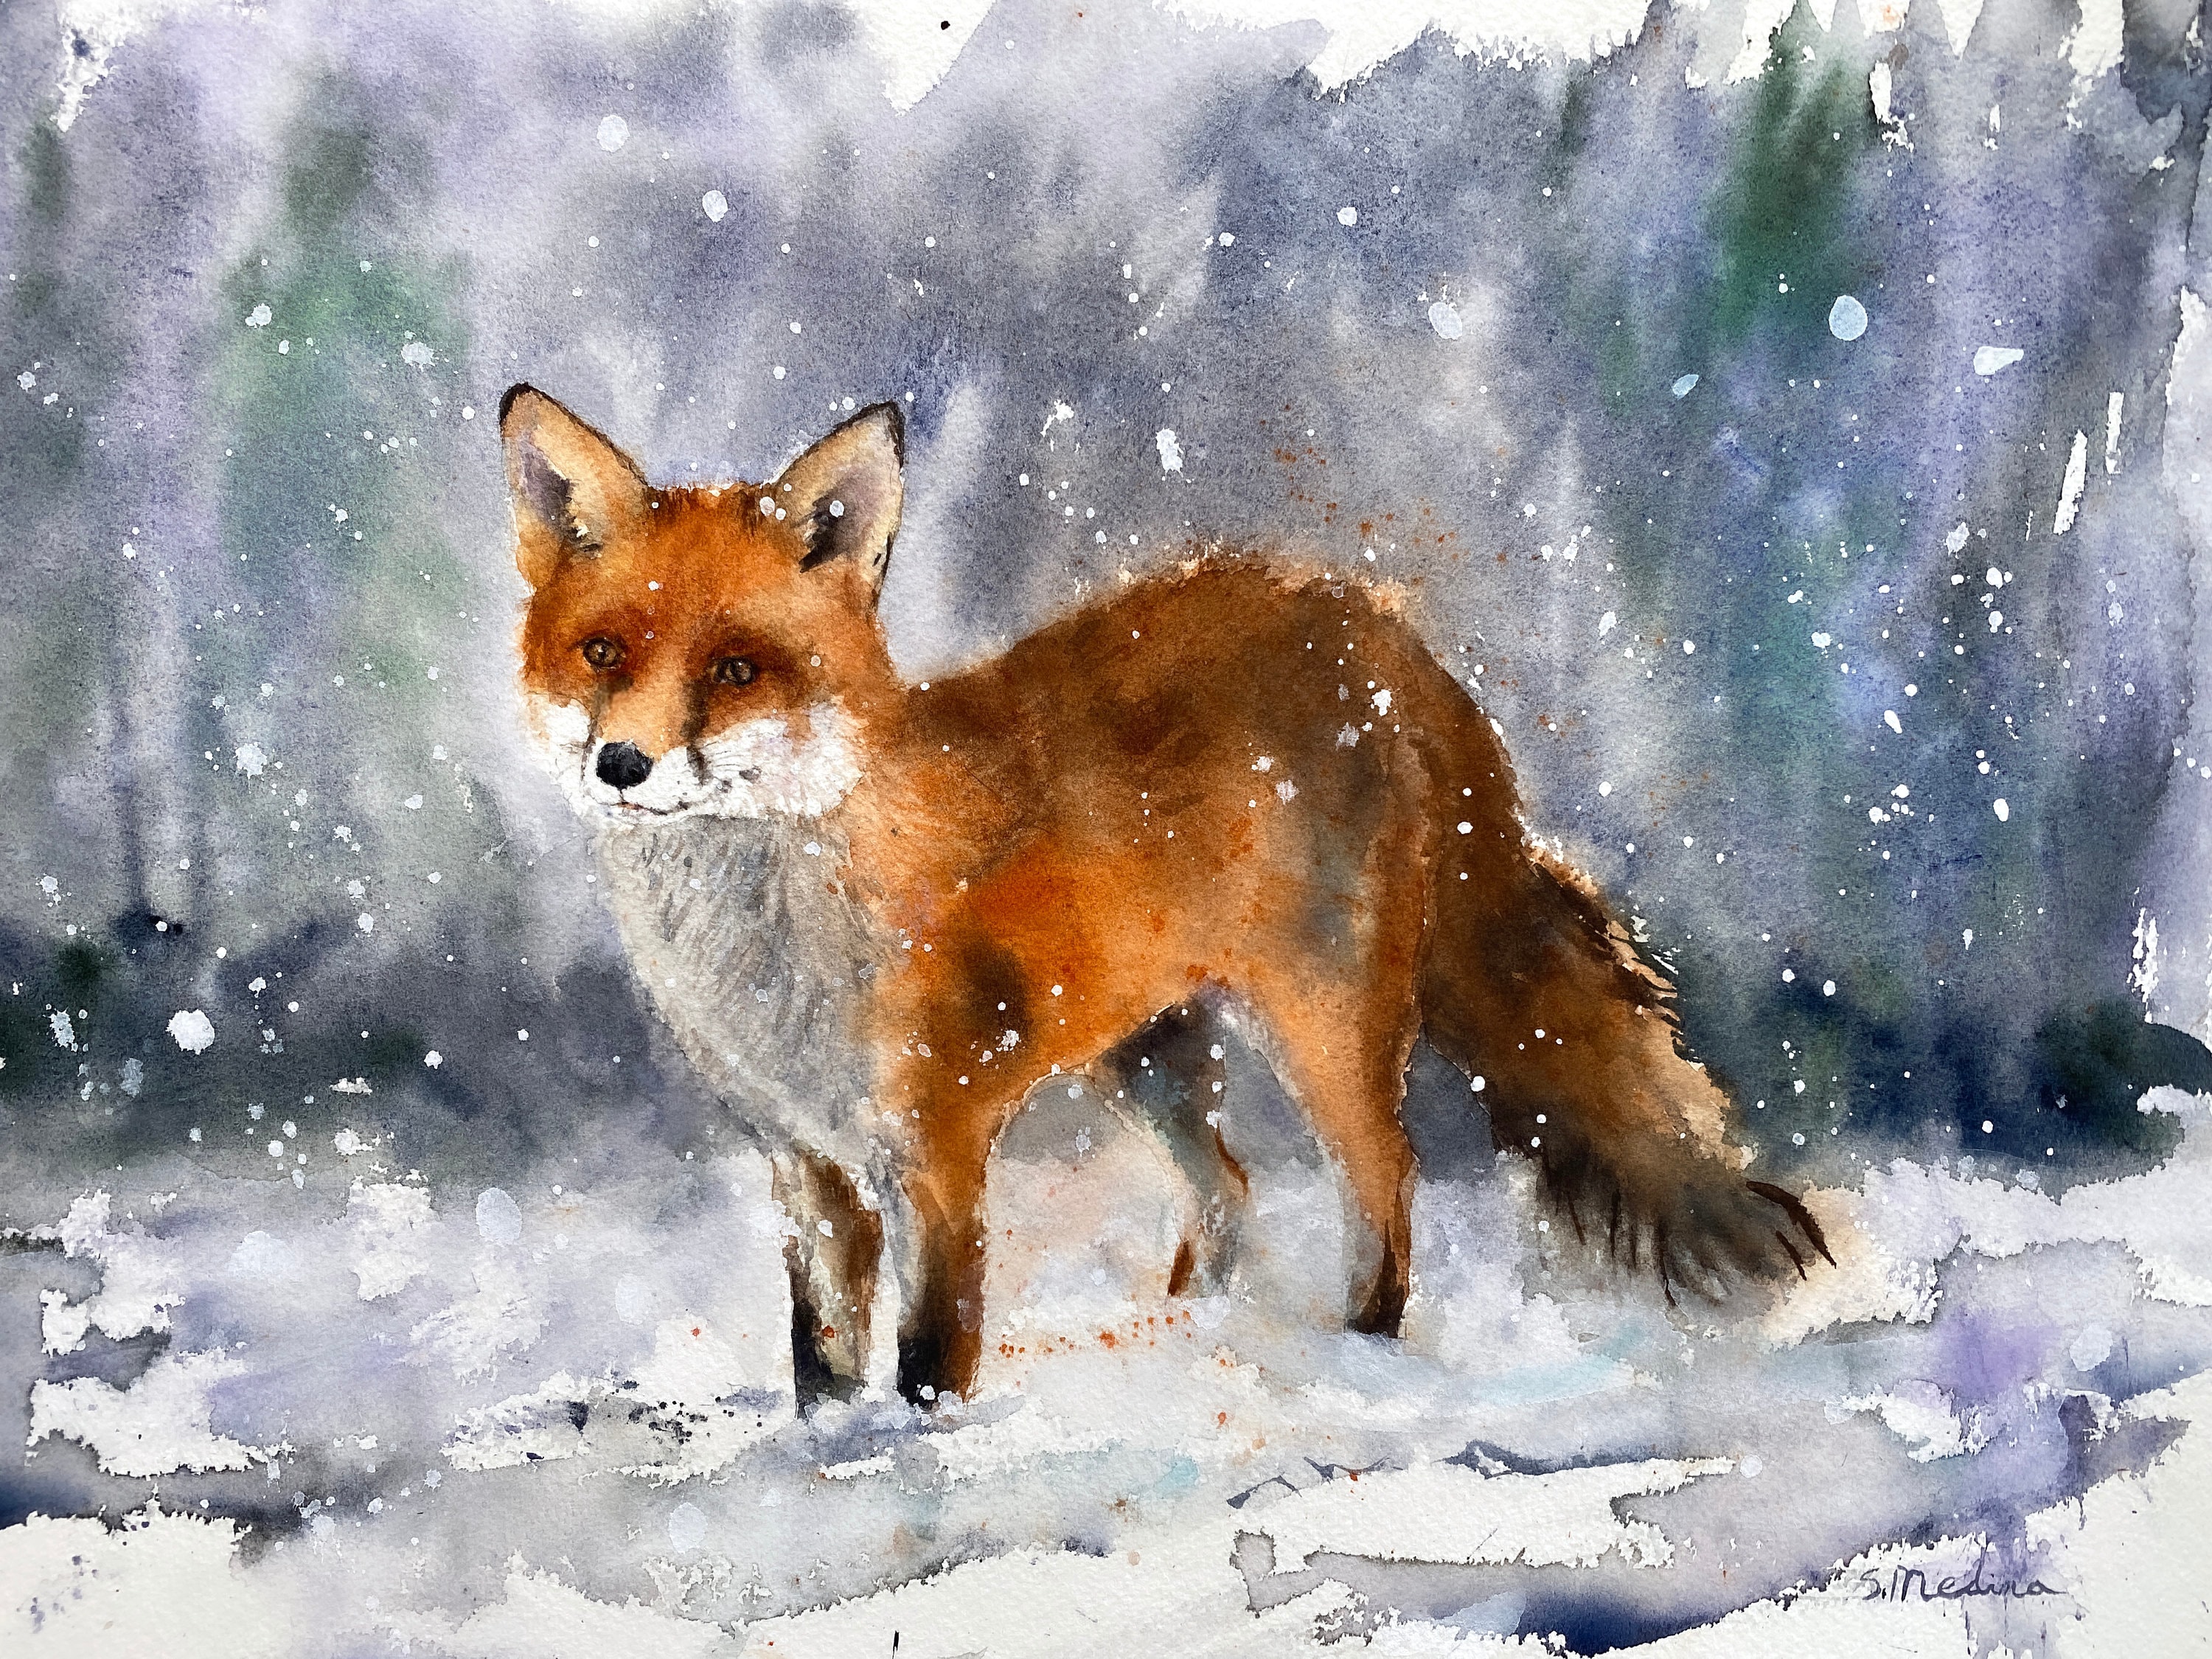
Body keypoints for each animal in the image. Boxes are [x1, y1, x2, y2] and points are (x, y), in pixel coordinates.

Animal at [499, 385, 1831, 1407]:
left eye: (735, 669)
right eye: (604, 653)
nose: (624, 765)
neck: (769, 946)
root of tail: (1370, 621)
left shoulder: (936, 1153)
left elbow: (929, 1354)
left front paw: (922, 1456)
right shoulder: (807, 1168)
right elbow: (818, 1359)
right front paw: (827, 1460)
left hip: (1321, 1020)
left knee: (1385, 1180)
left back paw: (1361, 1355)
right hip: (1149, 1053)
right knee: (1232, 1188)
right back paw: (1196, 1339)